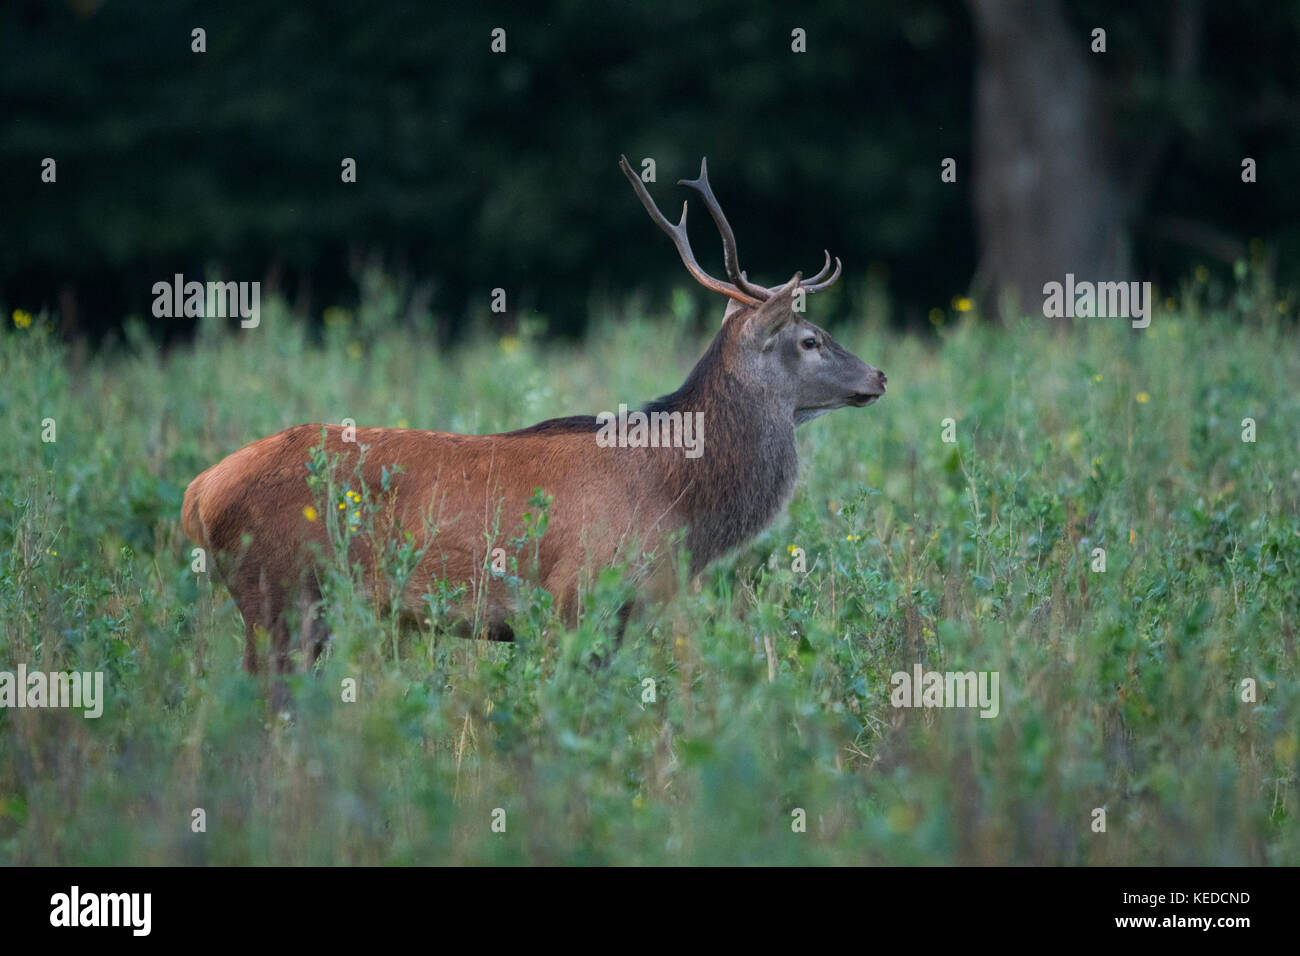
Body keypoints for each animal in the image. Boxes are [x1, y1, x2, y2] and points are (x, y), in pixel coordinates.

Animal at [180, 155, 886, 679]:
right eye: (811, 339)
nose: (879, 376)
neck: (676, 500)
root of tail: (198, 491)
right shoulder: (578, 595)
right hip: (278, 592)